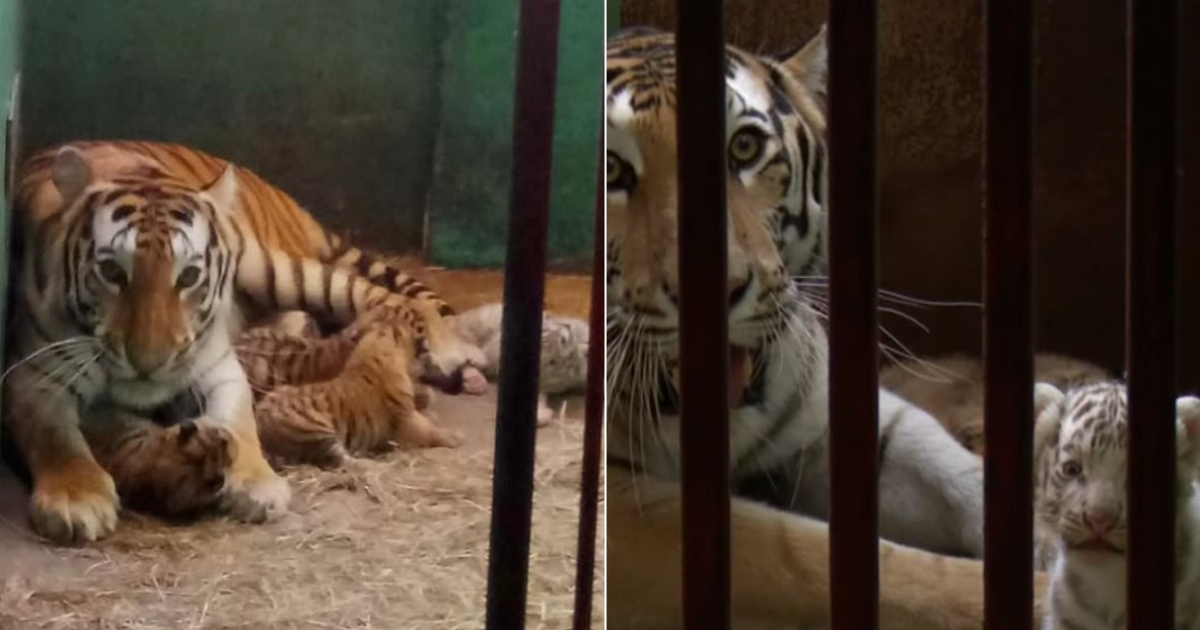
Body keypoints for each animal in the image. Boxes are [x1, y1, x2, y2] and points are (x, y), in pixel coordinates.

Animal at [2, 140, 481, 543]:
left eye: (189, 276)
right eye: (111, 272)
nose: (148, 362)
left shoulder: (219, 366)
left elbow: (239, 421)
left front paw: (256, 483)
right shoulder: (33, 377)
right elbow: (56, 439)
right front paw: (76, 498)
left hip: (271, 265)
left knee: (388, 299)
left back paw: (456, 353)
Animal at [605, 26, 1048, 628]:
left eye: (743, 148)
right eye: (611, 170)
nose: (717, 288)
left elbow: (958, 471)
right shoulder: (632, 508)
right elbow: (824, 561)